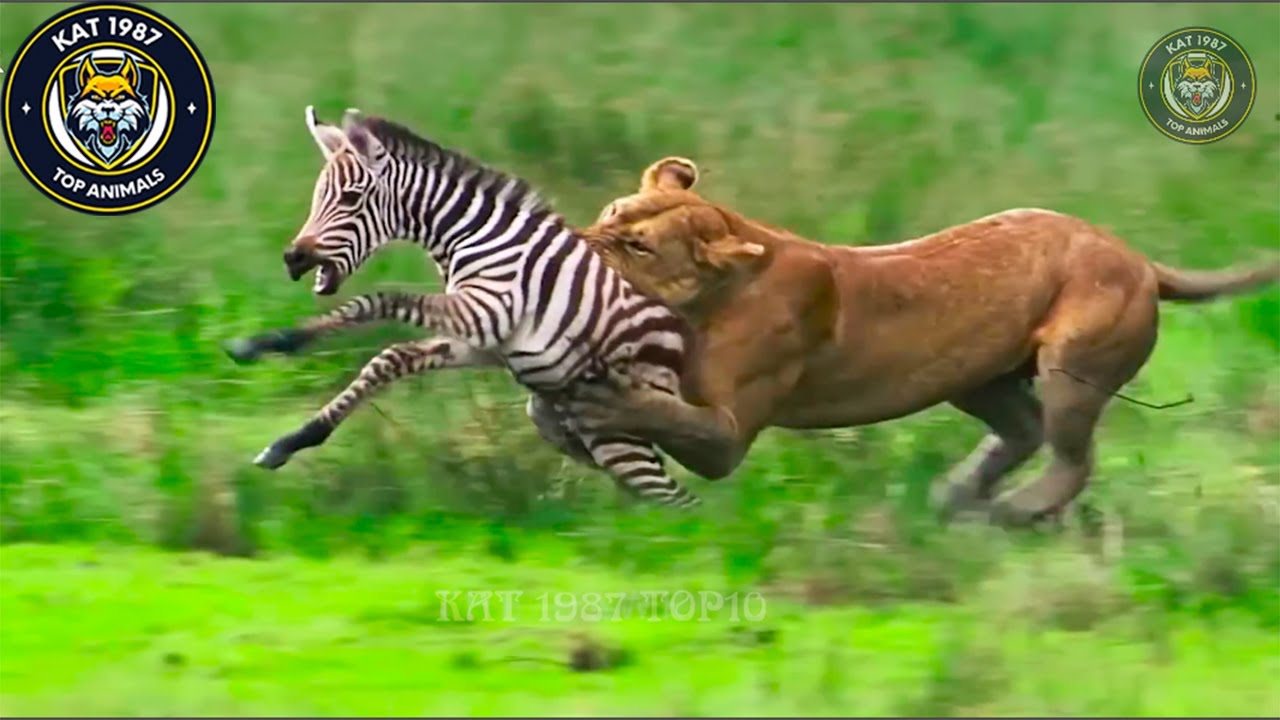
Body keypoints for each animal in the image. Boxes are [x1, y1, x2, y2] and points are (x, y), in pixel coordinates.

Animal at [223, 106, 738, 507]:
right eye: (317, 196)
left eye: (350, 197)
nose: (293, 258)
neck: (469, 235)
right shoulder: (487, 339)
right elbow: (390, 357)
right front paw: (288, 422)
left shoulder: (490, 310)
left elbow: (379, 300)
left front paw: (272, 346)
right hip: (573, 422)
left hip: (625, 430)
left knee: (672, 499)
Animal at [577, 157, 1279, 526]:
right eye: (613, 212)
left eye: (639, 246)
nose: (580, 240)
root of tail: (1140, 260)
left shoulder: (728, 437)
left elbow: (670, 414)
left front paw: (607, 403)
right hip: (976, 379)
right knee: (1024, 432)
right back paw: (957, 499)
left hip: (1071, 368)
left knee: (1073, 459)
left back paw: (1011, 510)